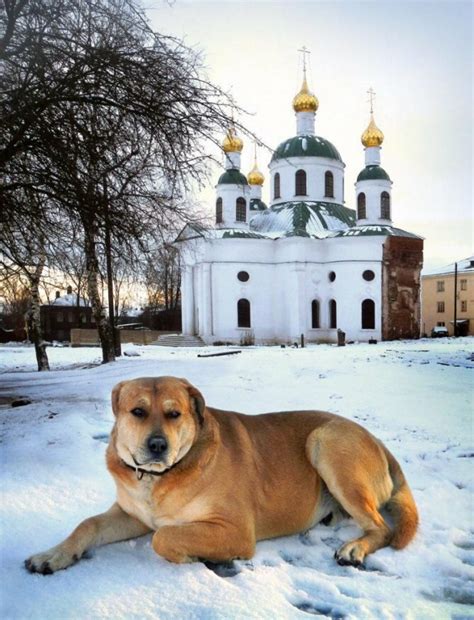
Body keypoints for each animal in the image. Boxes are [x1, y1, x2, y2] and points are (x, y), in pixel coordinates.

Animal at [25, 376, 418, 572]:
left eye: (174, 414)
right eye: (137, 411)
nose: (157, 446)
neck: (159, 479)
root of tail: (379, 442)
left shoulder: (235, 529)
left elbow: (163, 536)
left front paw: (201, 556)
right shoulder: (130, 513)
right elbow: (87, 525)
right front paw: (52, 555)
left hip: (327, 443)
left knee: (381, 527)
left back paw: (355, 548)